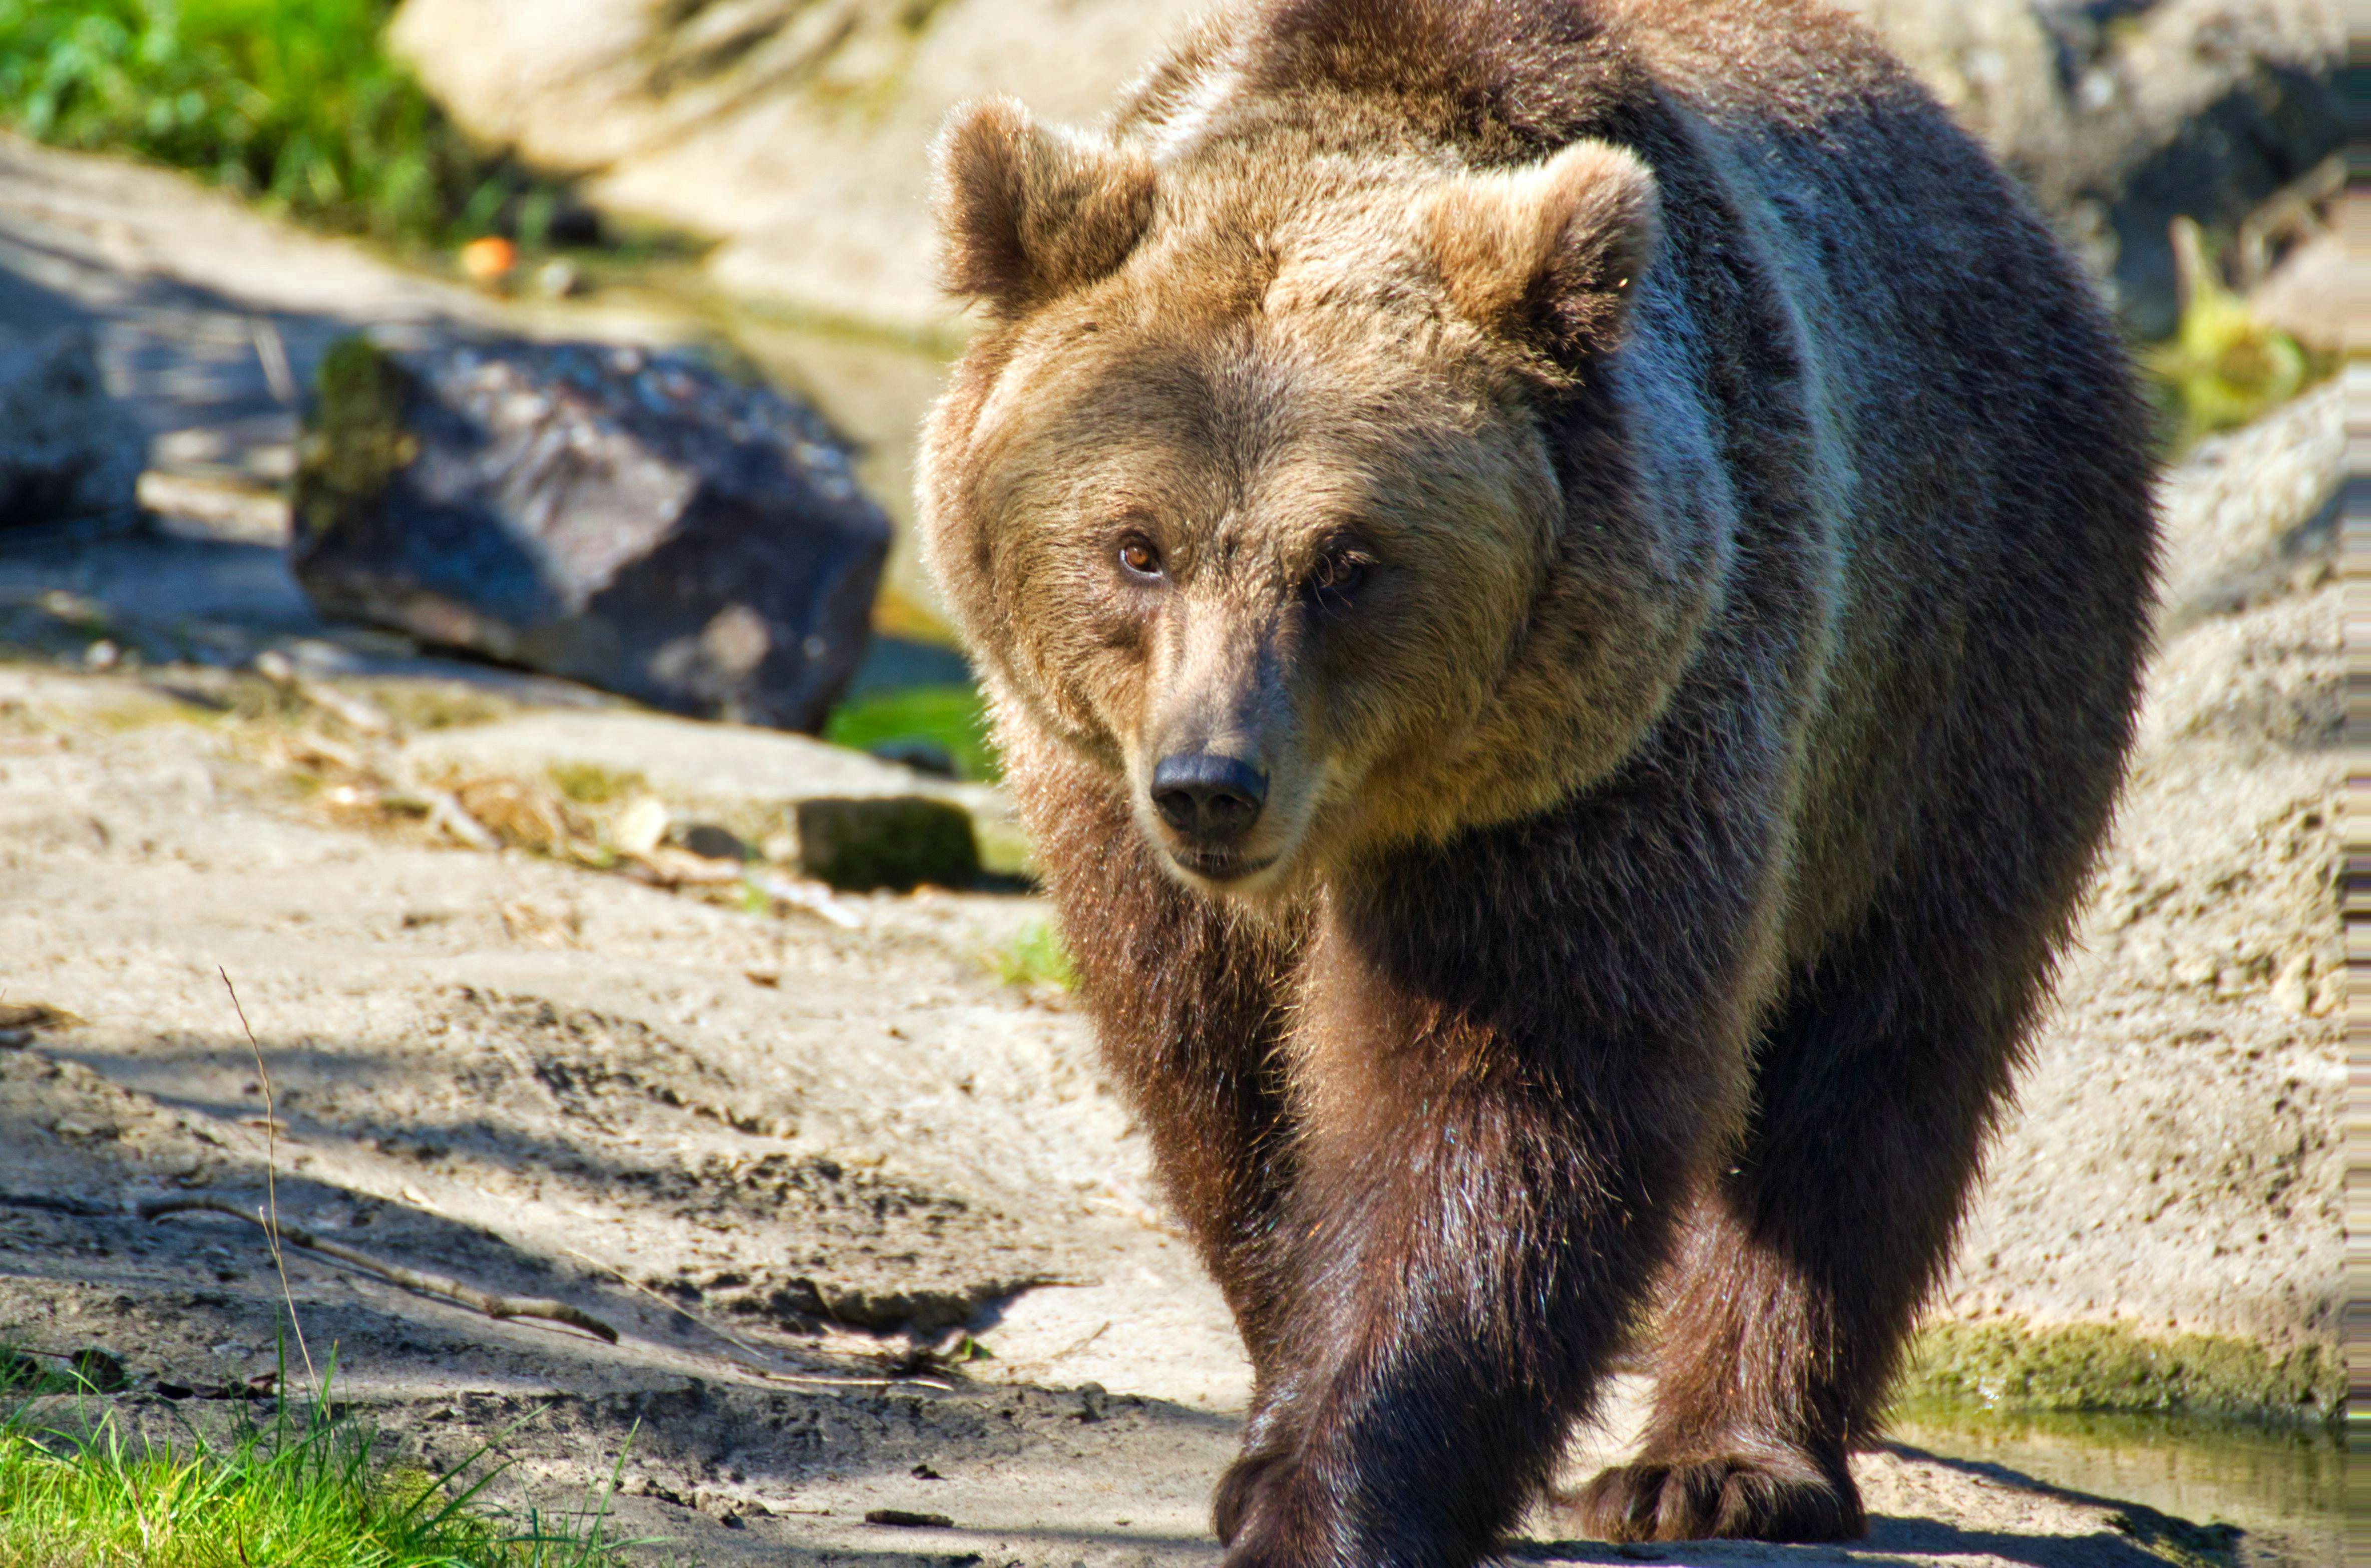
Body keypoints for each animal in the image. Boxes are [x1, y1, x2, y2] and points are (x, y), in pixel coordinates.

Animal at [916, 1, 2157, 1562]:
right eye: (1135, 545)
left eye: (1349, 560)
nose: (1212, 784)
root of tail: (2012, 209)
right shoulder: (1108, 810)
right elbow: (1220, 1082)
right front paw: (1279, 1398)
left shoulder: (1607, 745)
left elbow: (1511, 1091)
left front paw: (1333, 1484)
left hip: (1964, 652)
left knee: (1878, 1051)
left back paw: (1719, 1459)